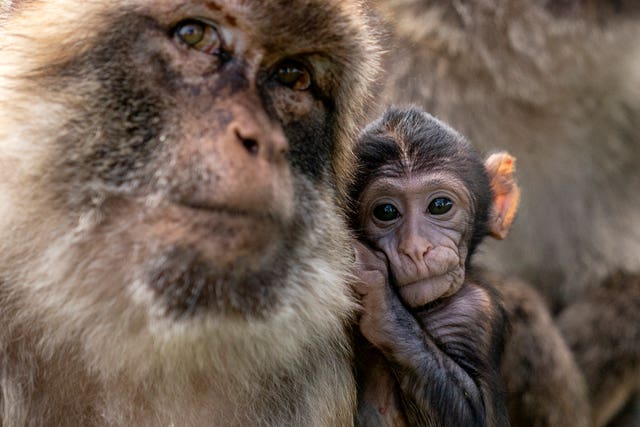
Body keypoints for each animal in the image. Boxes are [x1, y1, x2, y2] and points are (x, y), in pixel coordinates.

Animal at [349, 106, 516, 427]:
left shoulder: (476, 312)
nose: (415, 248)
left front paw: (383, 304)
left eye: (440, 205)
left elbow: (475, 416)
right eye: (386, 211)